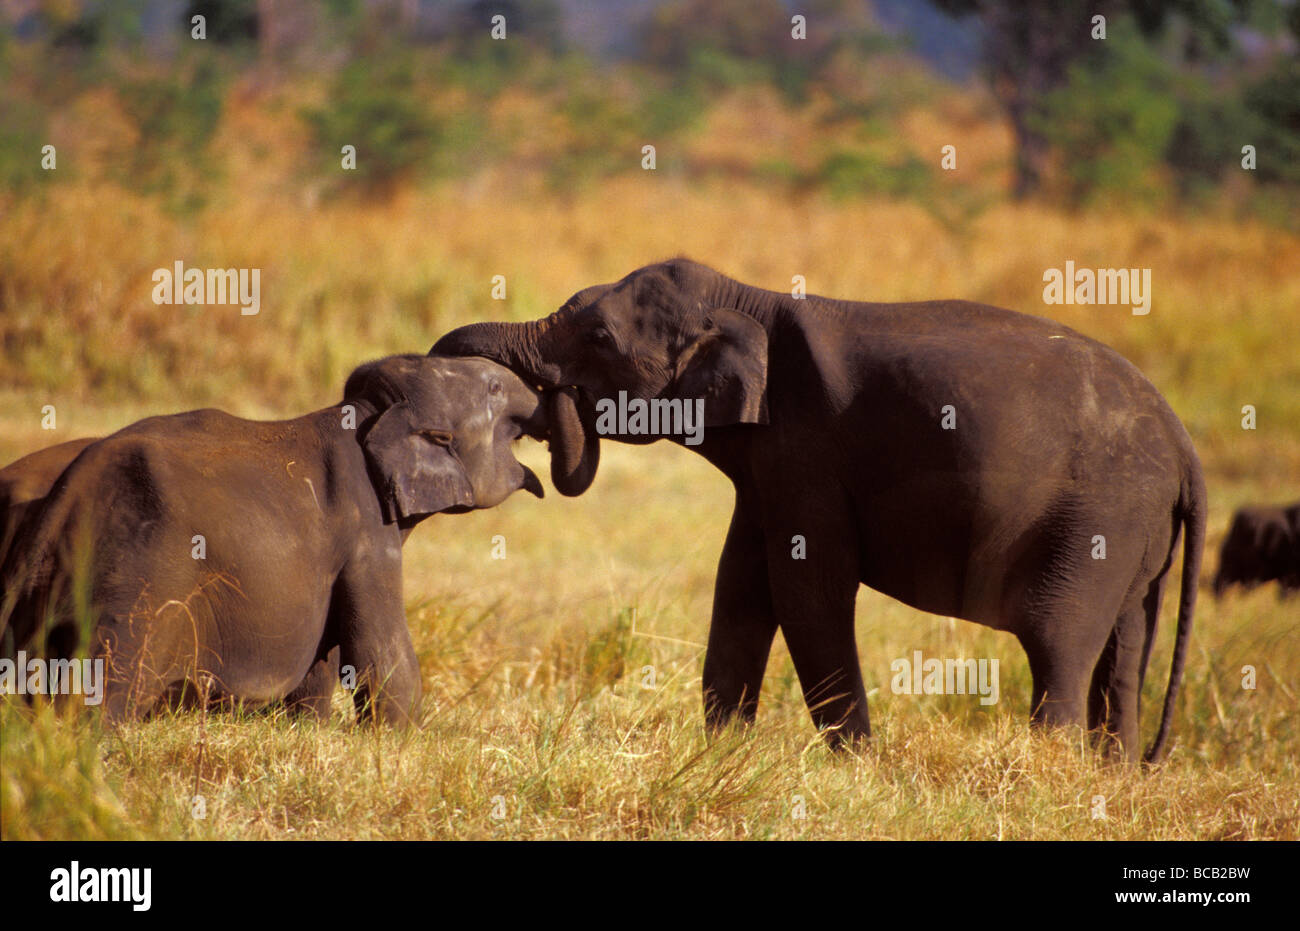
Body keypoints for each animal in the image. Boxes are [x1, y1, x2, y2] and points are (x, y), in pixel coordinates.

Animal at [0, 355, 547, 725]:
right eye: (494, 388)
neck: (367, 412)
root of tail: (68, 495)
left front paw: (307, 727)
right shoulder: (367, 530)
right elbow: (379, 651)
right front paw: (404, 741)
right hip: (139, 578)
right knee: (107, 688)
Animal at [432, 258, 1207, 762]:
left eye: (597, 339)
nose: (545, 410)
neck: (747, 299)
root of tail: (1184, 444)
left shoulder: (807, 445)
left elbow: (807, 593)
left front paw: (858, 769)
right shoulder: (770, 465)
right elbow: (741, 590)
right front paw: (721, 757)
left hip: (1102, 517)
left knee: (1058, 637)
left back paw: (1052, 770)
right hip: (1135, 536)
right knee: (1126, 647)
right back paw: (1113, 776)